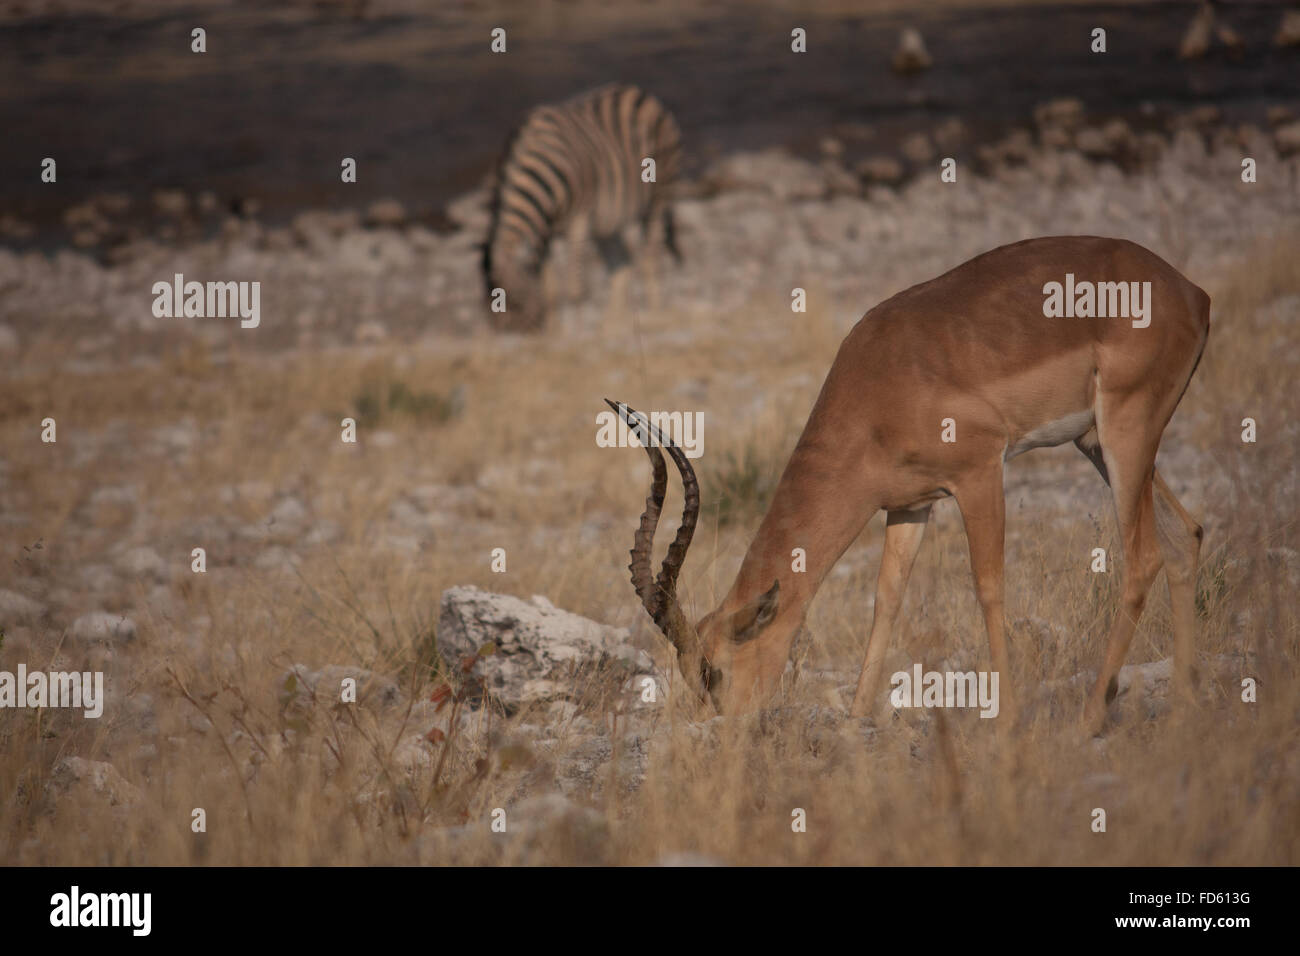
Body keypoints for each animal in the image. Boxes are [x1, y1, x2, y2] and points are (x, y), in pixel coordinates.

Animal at [482, 83, 683, 331]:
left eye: (516, 302)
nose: (506, 334)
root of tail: (641, 92)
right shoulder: (546, 230)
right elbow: (550, 287)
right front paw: (556, 330)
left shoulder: (580, 219)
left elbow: (574, 287)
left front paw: (576, 332)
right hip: (608, 221)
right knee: (622, 263)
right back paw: (612, 323)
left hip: (659, 195)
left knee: (650, 256)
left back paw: (654, 312)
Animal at [610, 236, 1209, 733]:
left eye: (711, 670)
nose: (724, 728)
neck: (880, 387)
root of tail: (1192, 292)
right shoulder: (909, 505)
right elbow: (886, 599)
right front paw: (856, 721)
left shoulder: (979, 473)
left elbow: (988, 587)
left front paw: (1008, 718)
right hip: (1097, 441)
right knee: (1186, 536)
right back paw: (1182, 709)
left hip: (1125, 432)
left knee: (1144, 557)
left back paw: (1089, 718)